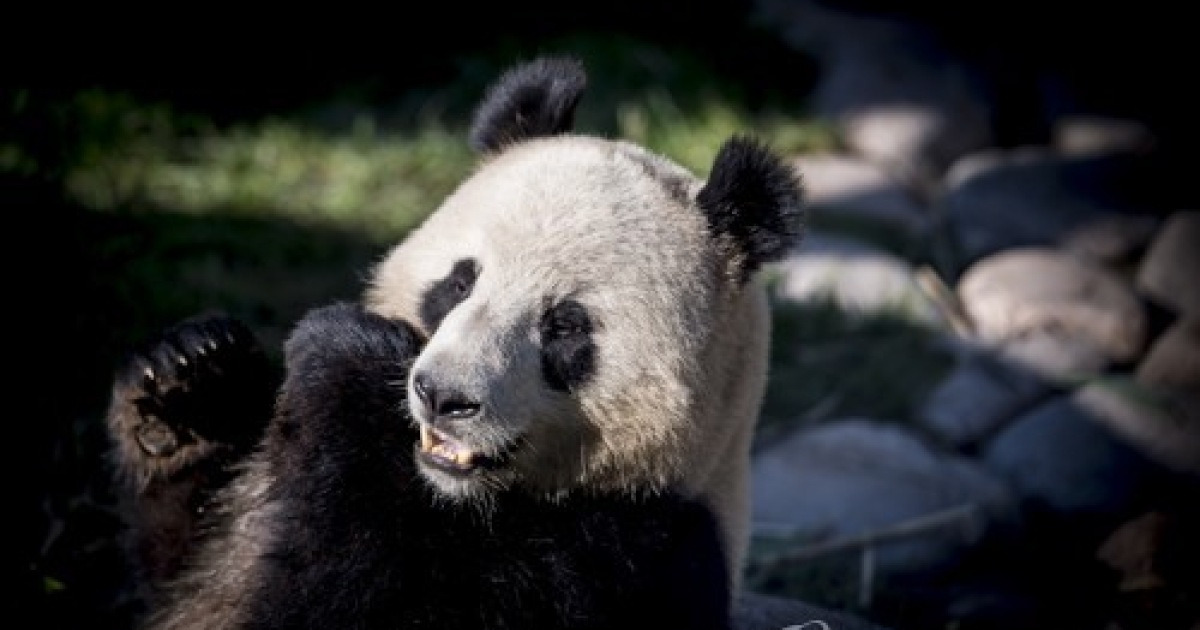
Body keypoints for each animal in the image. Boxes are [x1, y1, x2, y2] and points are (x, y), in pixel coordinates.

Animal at [104, 56, 805, 629]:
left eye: (565, 327)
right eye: (459, 283)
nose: (442, 396)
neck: (456, 495)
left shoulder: (641, 556)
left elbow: (344, 592)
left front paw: (345, 360)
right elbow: (189, 568)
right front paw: (191, 380)